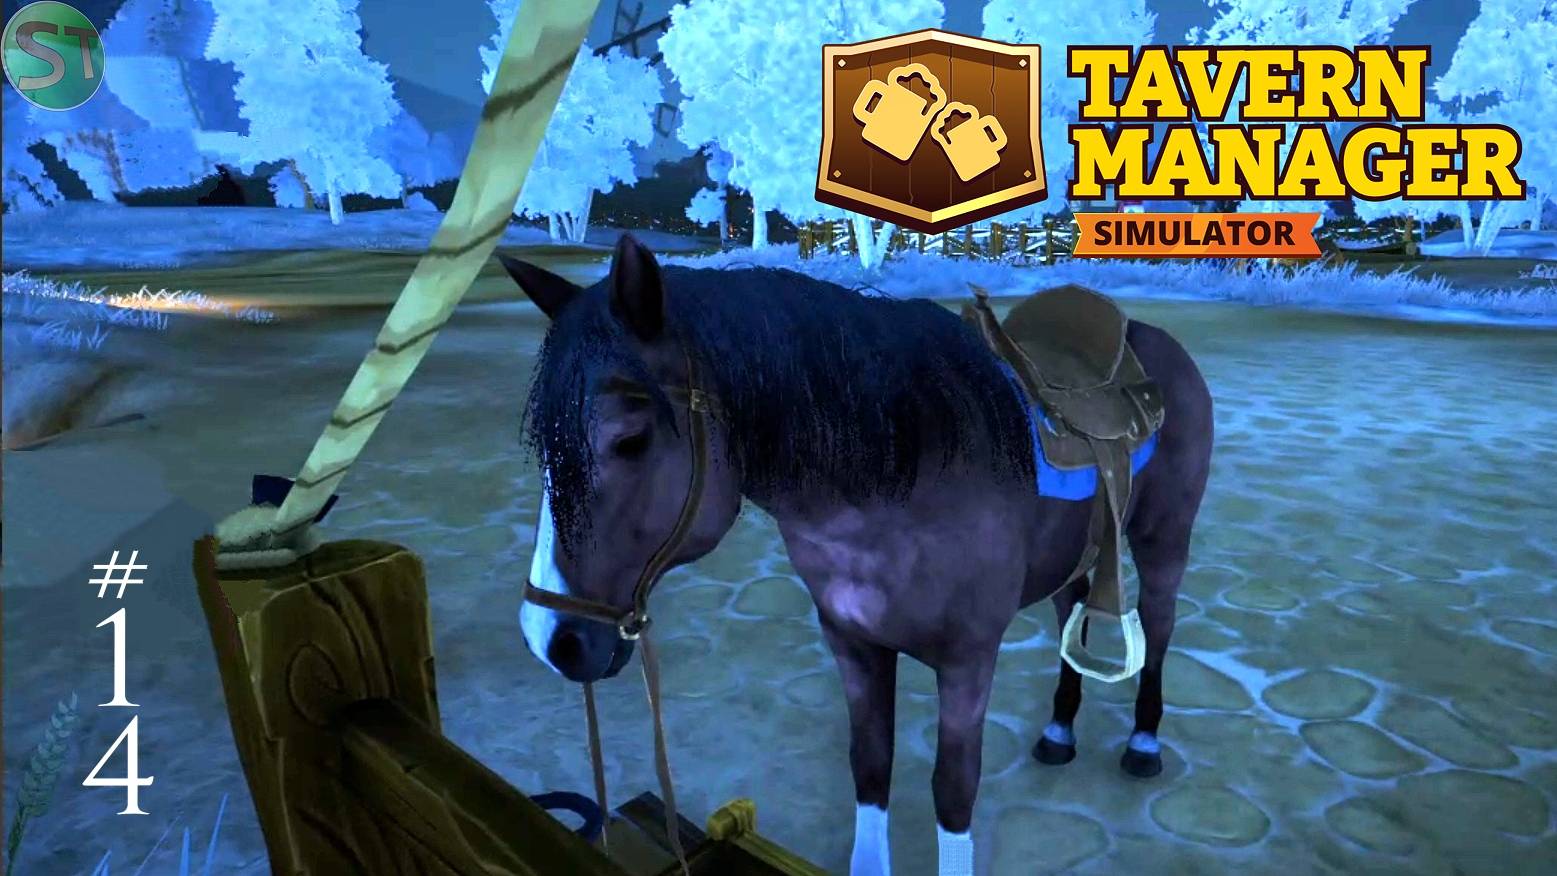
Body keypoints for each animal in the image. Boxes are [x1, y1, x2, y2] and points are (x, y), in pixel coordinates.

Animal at [507, 235, 1213, 876]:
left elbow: (953, 790)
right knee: (1072, 606)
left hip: (1163, 540)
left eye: (629, 439)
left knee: (1159, 623)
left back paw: (1143, 743)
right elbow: (870, 766)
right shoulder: (852, 641)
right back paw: (1058, 733)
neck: (902, 473)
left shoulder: (968, 659)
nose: (550, 638)